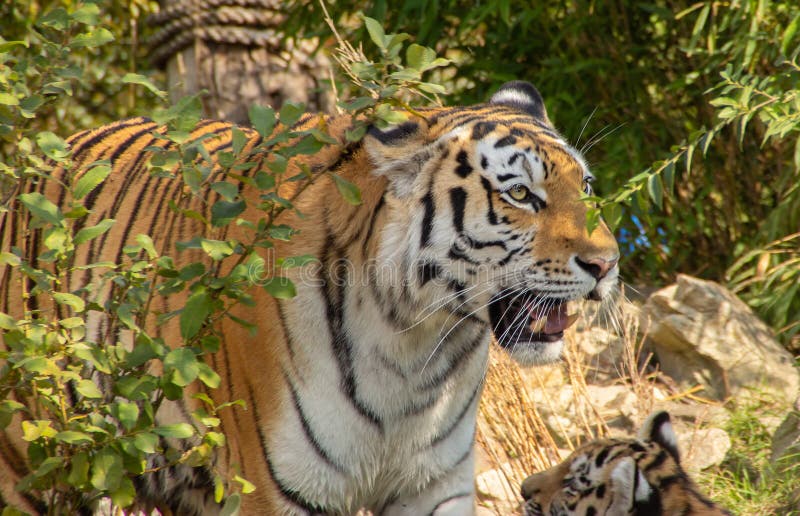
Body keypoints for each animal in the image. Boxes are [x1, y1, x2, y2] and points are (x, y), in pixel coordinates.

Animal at [0, 81, 620, 515]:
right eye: (521, 195)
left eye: (586, 187)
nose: (607, 263)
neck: (413, 343)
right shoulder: (277, 488)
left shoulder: (434, 485)